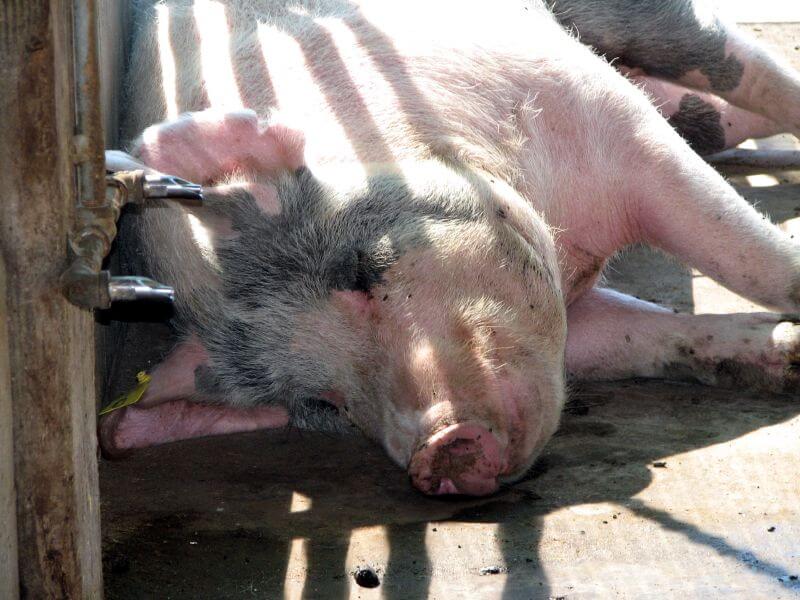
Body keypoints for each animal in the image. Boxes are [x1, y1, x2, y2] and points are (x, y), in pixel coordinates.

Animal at [101, 0, 800, 496]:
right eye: (319, 403)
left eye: (363, 269)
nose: (441, 449)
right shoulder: (567, 316)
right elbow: (644, 334)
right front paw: (785, 356)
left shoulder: (610, 124)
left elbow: (743, 251)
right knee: (707, 116)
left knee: (736, 64)